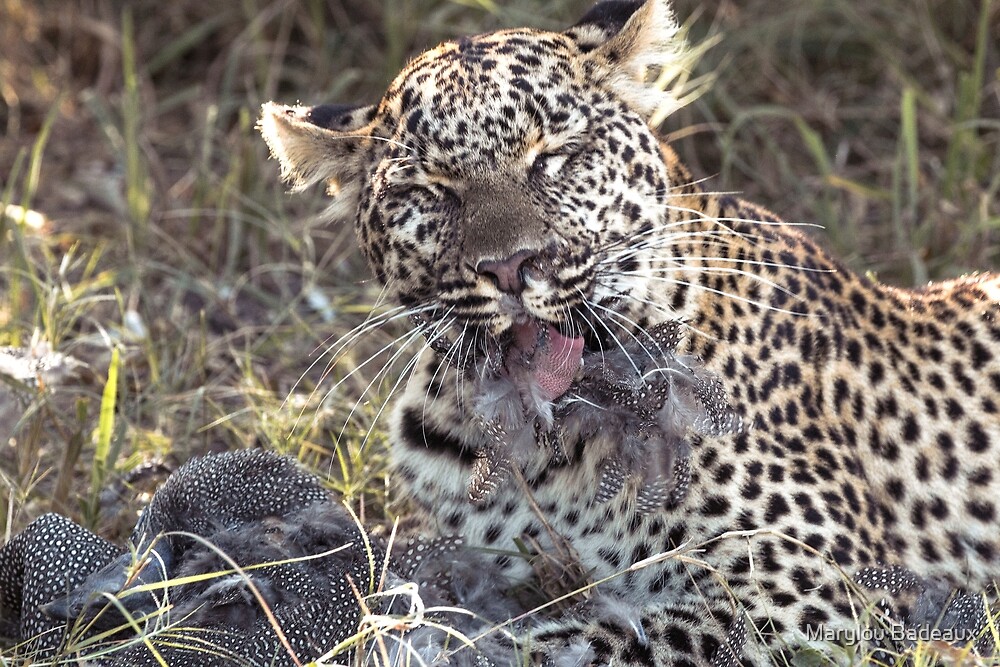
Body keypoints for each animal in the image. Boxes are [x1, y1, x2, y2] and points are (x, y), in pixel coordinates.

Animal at [259, 0, 1000, 664]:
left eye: (554, 156)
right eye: (430, 190)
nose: (509, 267)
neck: (548, 450)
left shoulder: (834, 586)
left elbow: (618, 638)